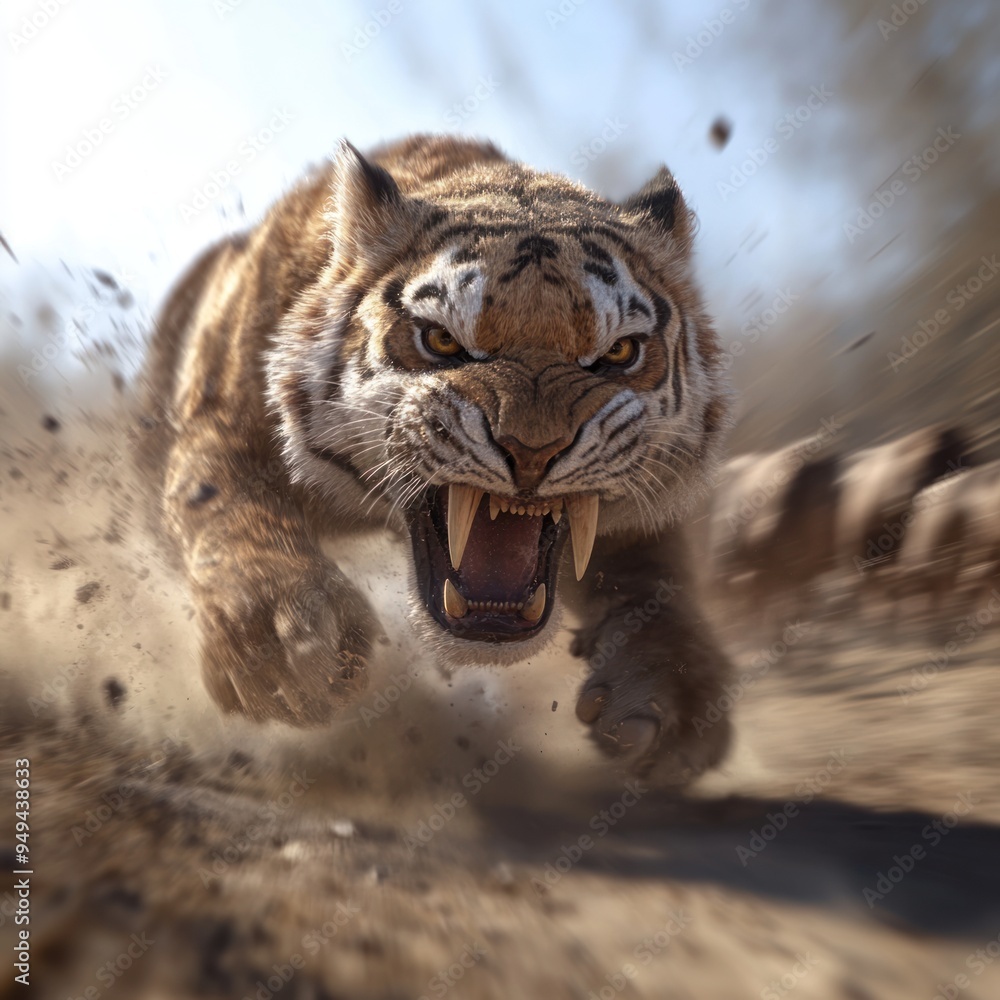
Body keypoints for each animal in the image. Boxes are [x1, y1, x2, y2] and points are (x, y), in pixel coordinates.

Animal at [138, 134, 734, 784]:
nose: (533, 450)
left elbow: (660, 578)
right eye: (443, 341)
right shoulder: (220, 418)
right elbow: (226, 507)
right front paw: (282, 647)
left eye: (619, 354)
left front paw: (672, 698)